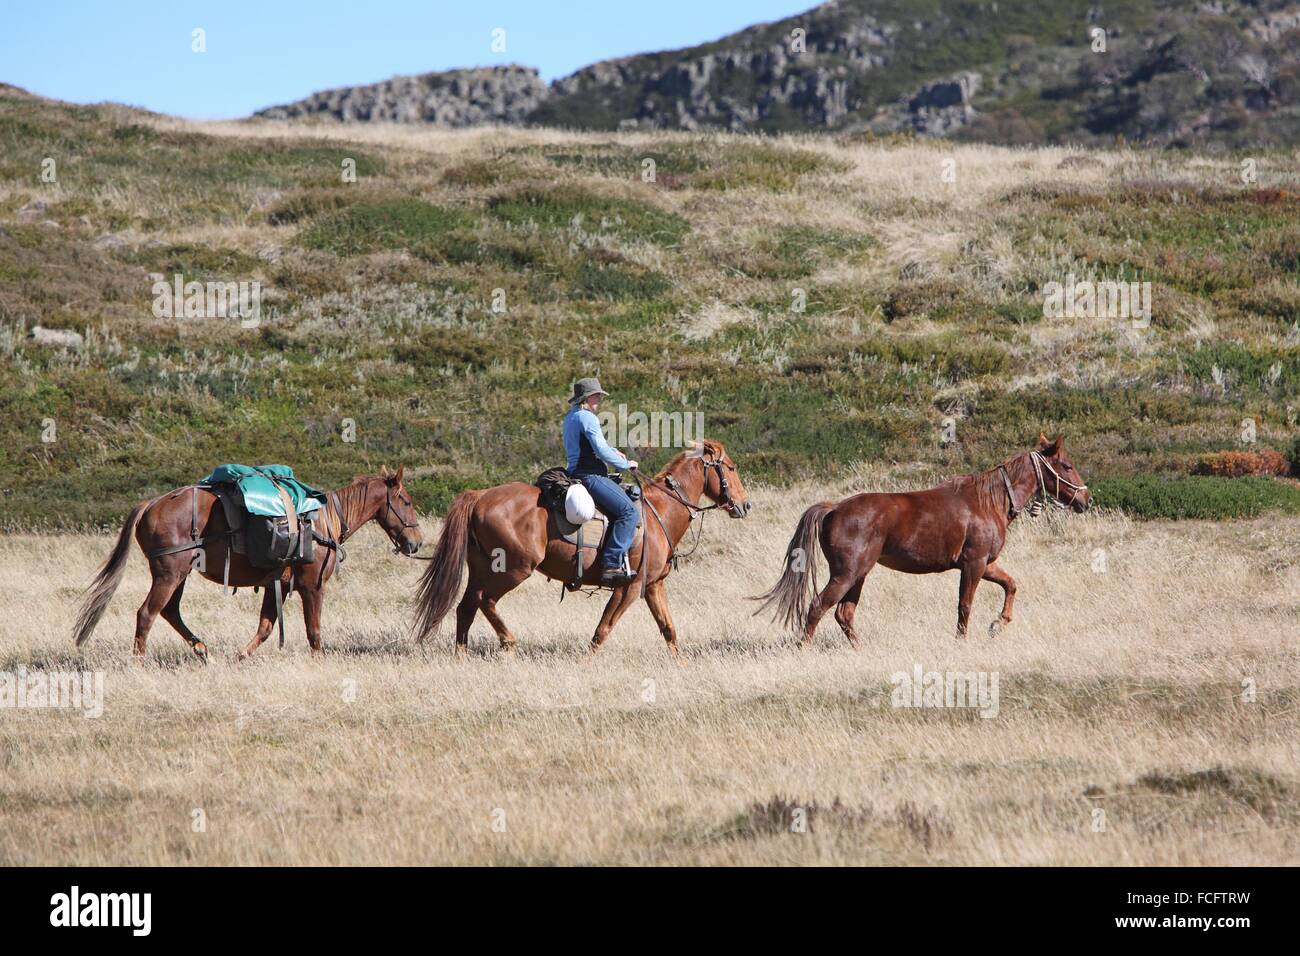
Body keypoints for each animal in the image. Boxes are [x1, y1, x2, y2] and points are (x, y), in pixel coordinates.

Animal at [73, 466, 423, 661]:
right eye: (406, 501)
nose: (417, 541)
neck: (322, 521)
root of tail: (151, 505)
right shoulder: (312, 586)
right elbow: (314, 631)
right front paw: (318, 661)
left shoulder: (276, 585)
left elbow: (266, 627)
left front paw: (241, 656)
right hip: (168, 575)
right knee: (147, 614)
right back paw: (140, 660)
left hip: (178, 575)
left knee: (170, 612)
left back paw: (202, 650)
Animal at [411, 439, 751, 658]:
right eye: (731, 468)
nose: (745, 505)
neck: (661, 512)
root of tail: (479, 495)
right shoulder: (627, 588)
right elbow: (604, 628)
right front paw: (587, 661)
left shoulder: (653, 586)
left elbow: (668, 628)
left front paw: (679, 664)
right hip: (513, 569)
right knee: (485, 601)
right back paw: (508, 642)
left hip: (483, 568)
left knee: (466, 606)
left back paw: (462, 655)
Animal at [753, 435, 1090, 647]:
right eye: (1067, 466)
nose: (1085, 499)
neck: (987, 501)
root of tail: (834, 507)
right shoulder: (974, 564)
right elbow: (964, 605)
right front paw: (962, 641)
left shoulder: (986, 564)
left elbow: (1011, 585)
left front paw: (998, 623)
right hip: (846, 574)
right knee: (817, 607)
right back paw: (804, 648)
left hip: (858, 575)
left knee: (843, 614)